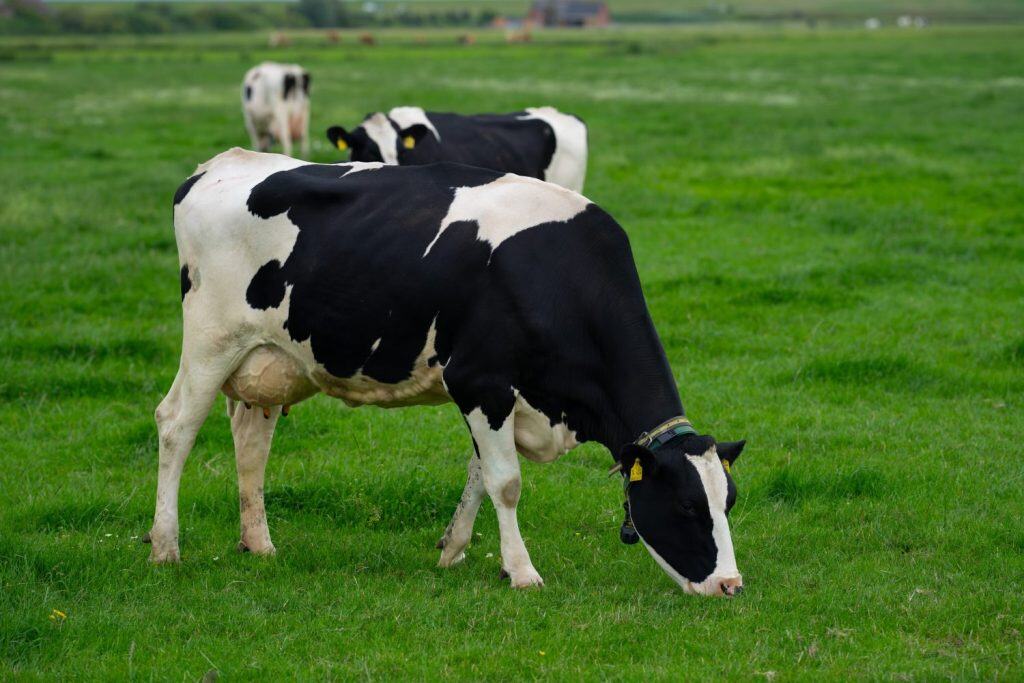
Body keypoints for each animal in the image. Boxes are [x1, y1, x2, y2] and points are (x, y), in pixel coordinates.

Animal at [148, 148, 747, 597]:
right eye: (687, 505)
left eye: (729, 501)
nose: (730, 585)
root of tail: (222, 163)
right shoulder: (480, 382)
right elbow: (506, 481)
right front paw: (522, 572)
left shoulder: (501, 396)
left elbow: (479, 473)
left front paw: (455, 549)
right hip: (211, 340)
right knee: (176, 425)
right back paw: (165, 546)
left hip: (268, 359)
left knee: (252, 439)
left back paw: (259, 544)